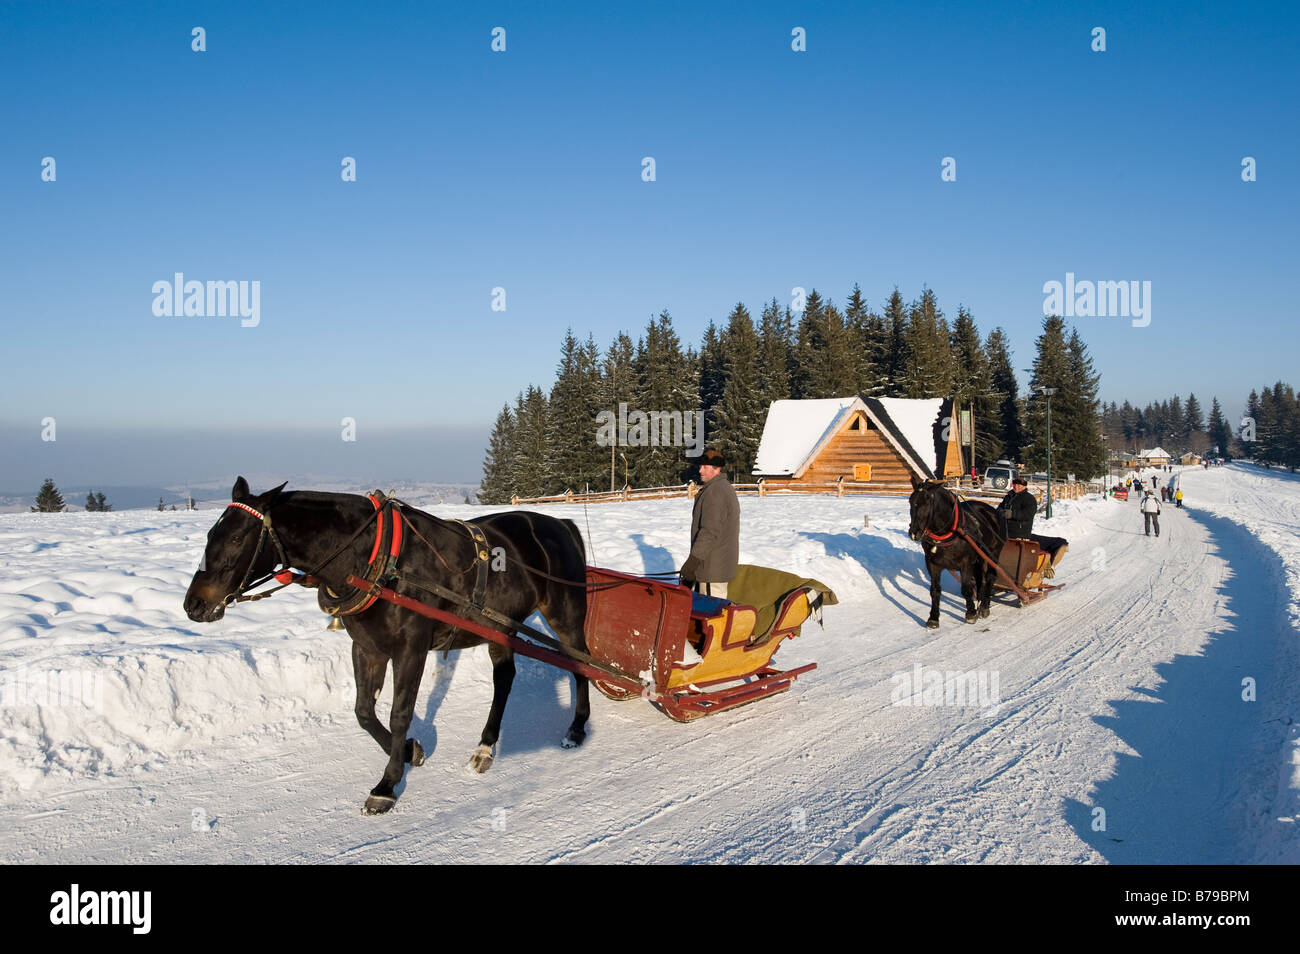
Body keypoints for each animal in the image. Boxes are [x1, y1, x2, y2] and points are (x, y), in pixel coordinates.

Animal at [183, 477, 591, 814]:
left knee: (581, 663)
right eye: (210, 533)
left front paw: (387, 784)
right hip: (499, 627)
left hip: (565, 613)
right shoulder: (367, 647)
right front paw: (411, 750)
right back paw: (485, 747)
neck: (372, 559)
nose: (194, 604)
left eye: (238, 538)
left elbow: (399, 713)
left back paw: (575, 729)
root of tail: (562, 525)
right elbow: (364, 711)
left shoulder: (410, 648)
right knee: (504, 679)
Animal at [907, 475, 1006, 629]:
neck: (948, 531)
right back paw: (980, 602)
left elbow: (966, 589)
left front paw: (970, 614)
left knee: (989, 577)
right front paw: (933, 618)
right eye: (911, 500)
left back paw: (984, 607)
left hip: (991, 554)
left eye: (928, 500)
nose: (914, 533)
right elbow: (935, 590)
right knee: (980, 579)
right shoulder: (932, 564)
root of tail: (992, 511)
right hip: (978, 558)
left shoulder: (965, 564)